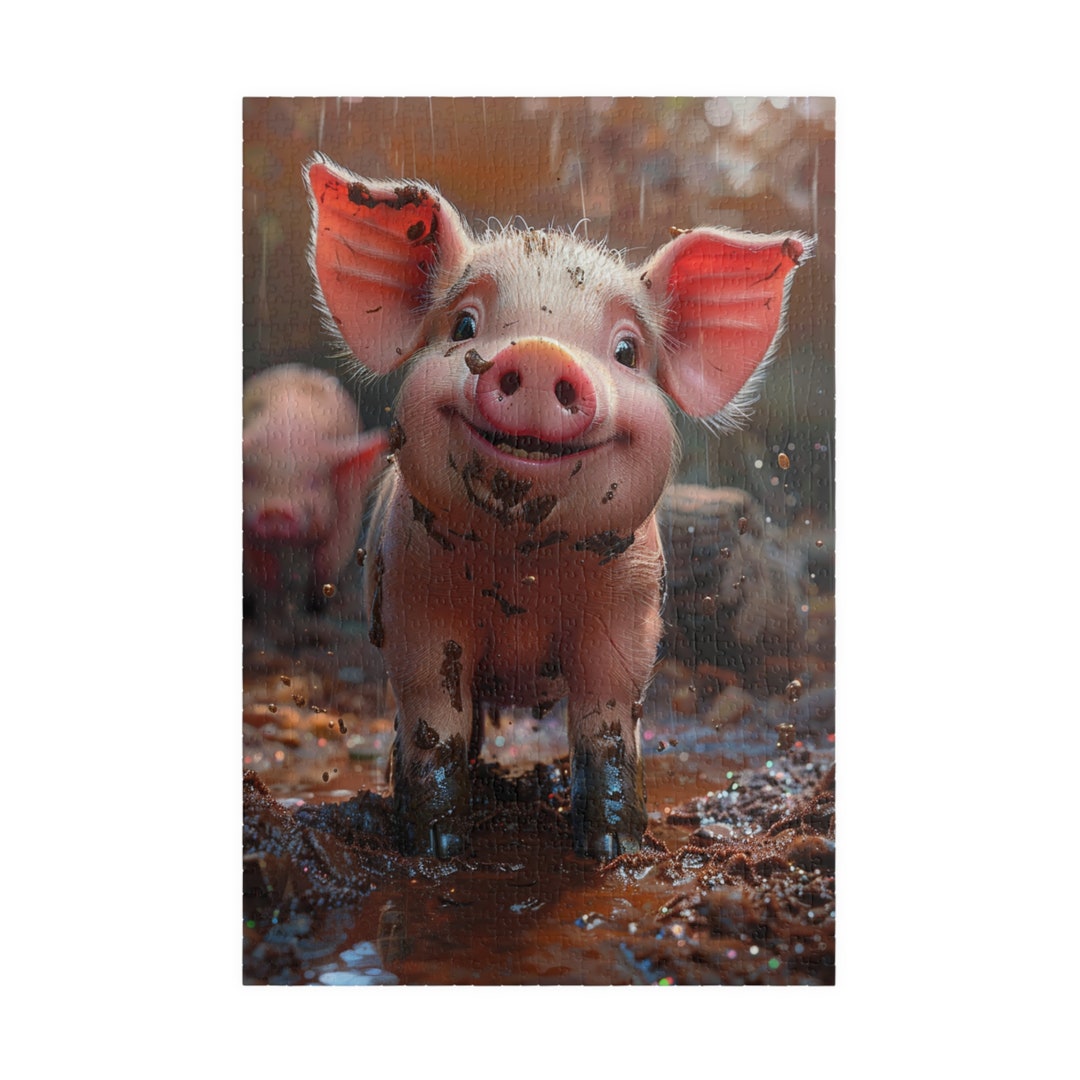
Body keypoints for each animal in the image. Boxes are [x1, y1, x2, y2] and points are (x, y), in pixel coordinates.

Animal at [242, 364, 387, 613]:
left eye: (315, 481)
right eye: (250, 478)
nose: (275, 511)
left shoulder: (348, 500)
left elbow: (330, 555)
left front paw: (316, 605)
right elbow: (258, 563)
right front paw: (272, 601)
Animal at [304, 154, 812, 858]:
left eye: (626, 351)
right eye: (464, 326)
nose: (541, 353)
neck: (524, 567)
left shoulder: (627, 609)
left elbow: (607, 721)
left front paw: (613, 850)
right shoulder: (412, 598)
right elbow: (433, 717)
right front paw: (436, 848)